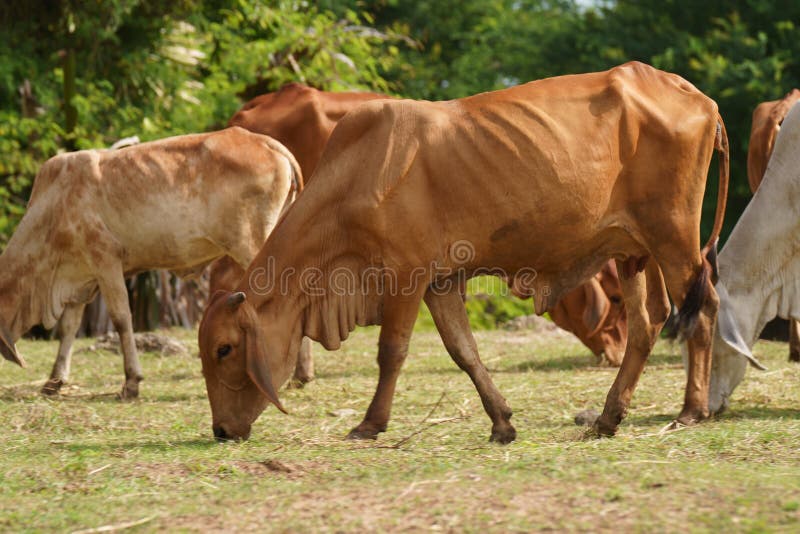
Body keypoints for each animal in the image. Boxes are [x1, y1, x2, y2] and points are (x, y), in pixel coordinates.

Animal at [0, 127, 301, 398]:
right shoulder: (83, 278)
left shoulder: (105, 260)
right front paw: (54, 381)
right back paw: (298, 377)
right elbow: (69, 327)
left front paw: (131, 382)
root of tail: (266, 142)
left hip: (252, 244)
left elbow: (122, 319)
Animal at [197, 62, 729, 443]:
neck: (356, 175)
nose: (221, 430)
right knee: (648, 323)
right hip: (634, 250)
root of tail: (694, 93)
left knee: (703, 309)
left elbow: (392, 352)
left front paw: (370, 424)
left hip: (674, 236)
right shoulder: (441, 282)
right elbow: (464, 352)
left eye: (225, 349)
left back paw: (691, 410)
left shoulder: (405, 276)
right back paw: (609, 416)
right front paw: (502, 422)